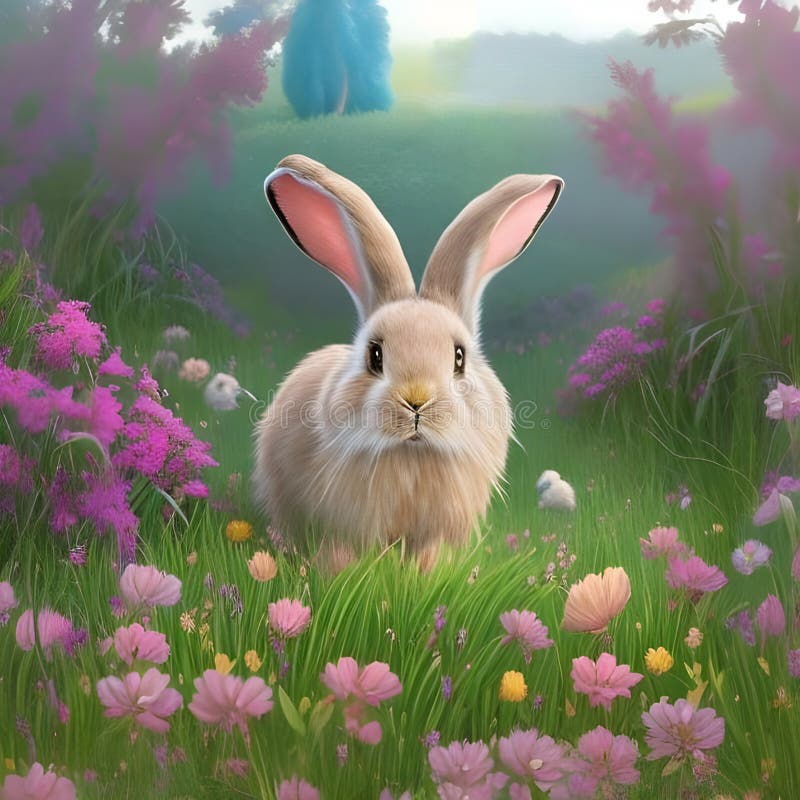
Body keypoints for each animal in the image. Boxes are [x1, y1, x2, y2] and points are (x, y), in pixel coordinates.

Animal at [254, 154, 564, 570]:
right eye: (375, 355)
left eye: (459, 358)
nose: (416, 401)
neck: (412, 455)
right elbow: (342, 556)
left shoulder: (434, 529)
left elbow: (427, 558)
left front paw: (425, 576)